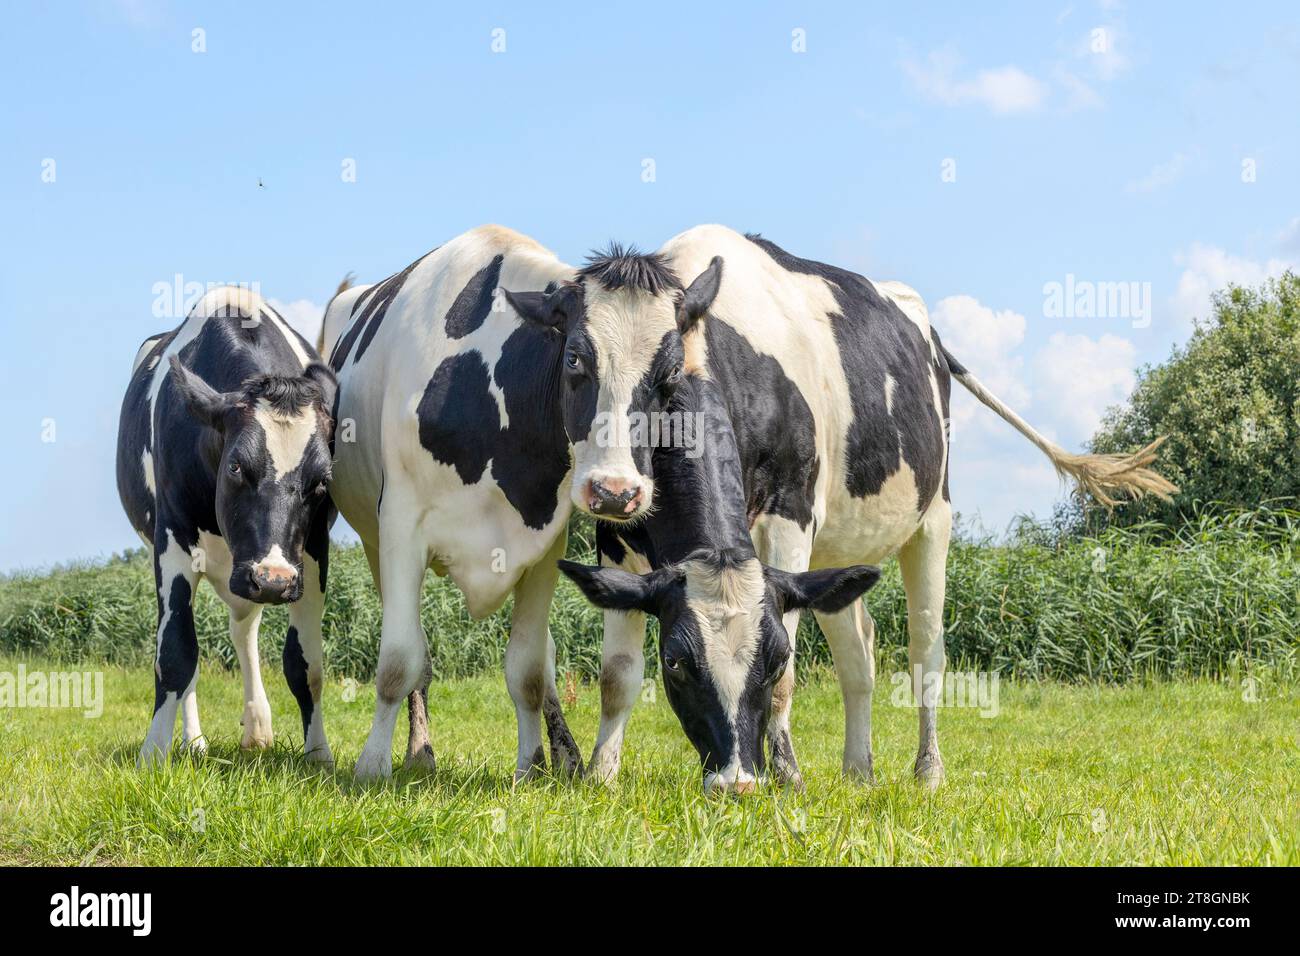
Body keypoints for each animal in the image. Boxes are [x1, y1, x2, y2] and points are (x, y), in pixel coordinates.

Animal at [116, 287, 339, 767]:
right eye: (236, 465)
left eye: (321, 480)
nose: (272, 579)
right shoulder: (171, 540)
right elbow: (176, 652)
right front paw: (153, 754)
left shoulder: (311, 551)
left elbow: (306, 662)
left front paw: (319, 754)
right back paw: (194, 741)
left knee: (243, 629)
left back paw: (256, 727)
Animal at [559, 226, 1175, 790]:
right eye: (675, 662)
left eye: (774, 658)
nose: (737, 781)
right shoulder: (619, 537)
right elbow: (616, 675)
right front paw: (601, 778)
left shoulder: (789, 519)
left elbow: (791, 678)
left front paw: (788, 777)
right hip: (836, 553)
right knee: (859, 652)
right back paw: (858, 771)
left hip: (933, 518)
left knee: (926, 648)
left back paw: (927, 771)